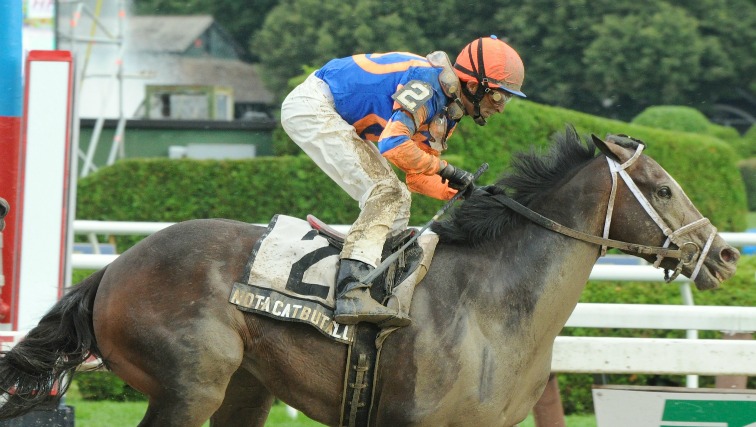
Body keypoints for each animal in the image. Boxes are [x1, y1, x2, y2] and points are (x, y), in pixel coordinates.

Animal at [0, 127, 739, 427]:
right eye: (663, 189)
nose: (726, 256)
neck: (494, 306)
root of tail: (112, 269)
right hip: (190, 385)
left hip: (246, 388)